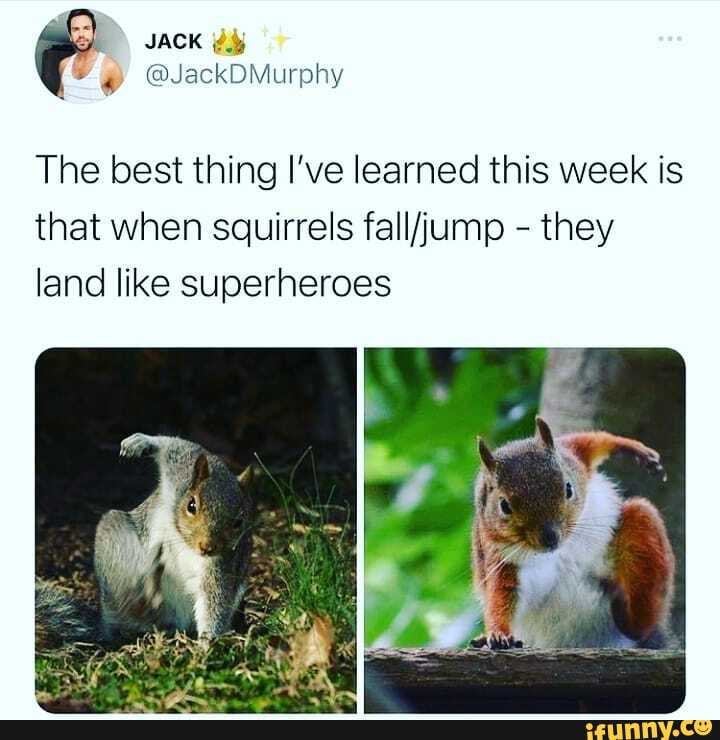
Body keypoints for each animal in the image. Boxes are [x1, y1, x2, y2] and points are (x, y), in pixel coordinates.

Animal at [36, 433, 254, 648]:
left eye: (239, 522)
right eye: (191, 505)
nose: (207, 547)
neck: (185, 543)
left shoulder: (221, 566)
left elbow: (215, 601)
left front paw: (207, 643)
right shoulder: (180, 473)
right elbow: (178, 447)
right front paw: (140, 442)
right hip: (115, 544)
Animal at [470, 417, 675, 650]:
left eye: (568, 489)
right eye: (504, 506)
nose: (550, 537)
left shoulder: (572, 456)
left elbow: (590, 442)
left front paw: (635, 448)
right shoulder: (501, 559)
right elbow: (501, 596)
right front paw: (498, 634)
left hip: (641, 527)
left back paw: (628, 614)